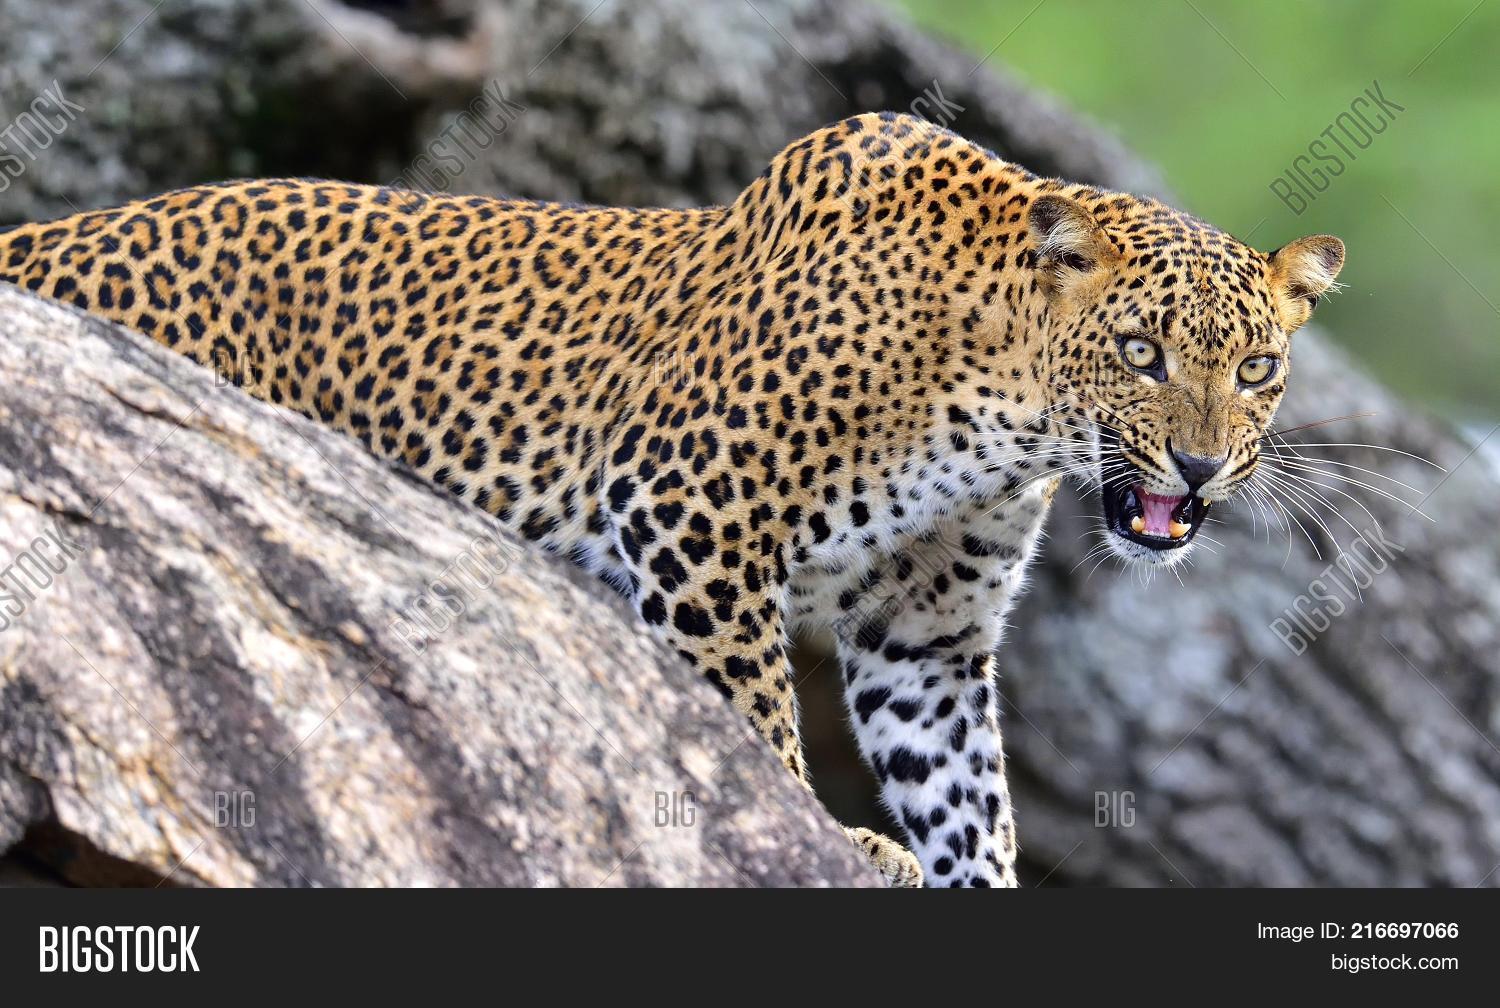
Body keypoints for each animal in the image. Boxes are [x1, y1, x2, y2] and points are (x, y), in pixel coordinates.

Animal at [0, 112, 1343, 887]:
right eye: (1142, 354)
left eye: (1256, 368)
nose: (1201, 468)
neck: (1006, 409)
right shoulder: (700, 508)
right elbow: (750, 717)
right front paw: (828, 839)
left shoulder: (926, 634)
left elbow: (969, 798)